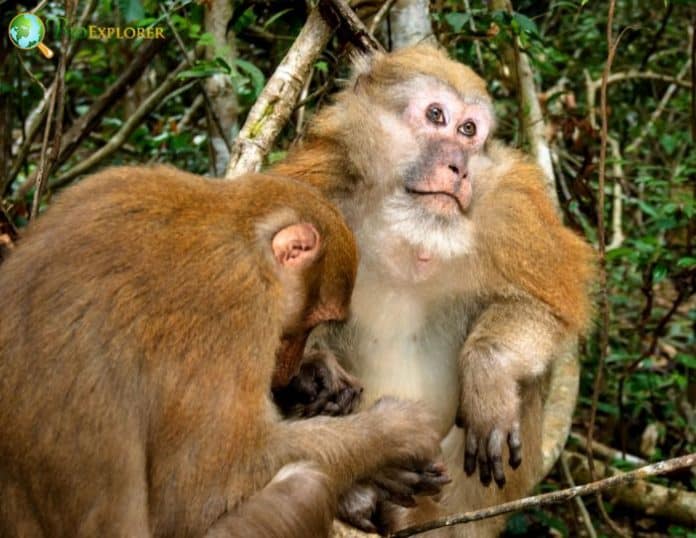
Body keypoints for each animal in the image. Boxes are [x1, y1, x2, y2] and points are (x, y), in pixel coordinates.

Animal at [0, 165, 449, 537]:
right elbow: (197, 496)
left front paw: (316, 376)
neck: (234, 226)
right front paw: (394, 437)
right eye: (305, 324)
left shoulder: (106, 186)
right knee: (305, 483)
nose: (286, 367)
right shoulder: (238, 302)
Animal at [270, 44, 595, 536]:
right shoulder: (314, 185)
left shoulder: (512, 206)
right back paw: (364, 487)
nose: (458, 166)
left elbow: (543, 303)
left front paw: (488, 373)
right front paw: (313, 369)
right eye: (436, 115)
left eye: (468, 130)